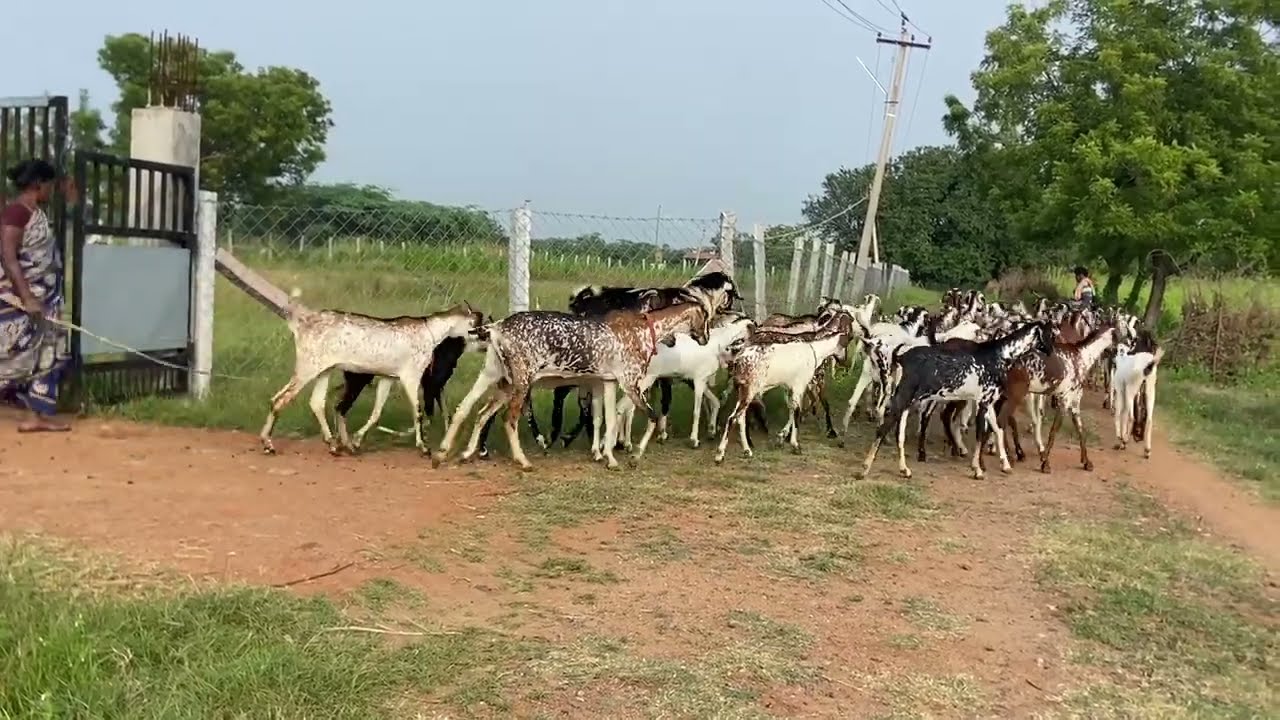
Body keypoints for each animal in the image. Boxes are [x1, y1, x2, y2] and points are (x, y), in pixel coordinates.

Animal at [259, 302, 485, 456]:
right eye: (477, 322)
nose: (485, 338)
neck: (429, 333)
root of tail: (302, 324)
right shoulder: (411, 376)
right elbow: (418, 412)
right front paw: (423, 448)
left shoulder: (388, 377)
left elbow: (377, 412)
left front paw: (357, 441)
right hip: (308, 367)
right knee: (280, 400)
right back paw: (268, 444)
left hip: (324, 369)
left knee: (315, 402)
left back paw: (333, 445)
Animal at [437, 289, 716, 470]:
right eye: (706, 317)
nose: (705, 339)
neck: (643, 329)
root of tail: (497, 327)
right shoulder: (630, 383)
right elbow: (652, 417)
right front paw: (634, 457)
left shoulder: (608, 382)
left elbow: (609, 420)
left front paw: (609, 459)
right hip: (522, 381)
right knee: (508, 418)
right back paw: (522, 461)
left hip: (498, 377)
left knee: (474, 409)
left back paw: (450, 453)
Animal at [714, 310, 856, 463]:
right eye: (849, 338)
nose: (844, 362)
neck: (814, 349)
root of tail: (739, 358)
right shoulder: (801, 384)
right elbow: (798, 410)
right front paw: (795, 444)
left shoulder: (790, 387)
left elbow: (792, 409)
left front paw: (783, 437)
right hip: (749, 389)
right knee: (733, 418)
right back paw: (720, 454)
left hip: (742, 390)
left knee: (739, 417)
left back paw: (747, 450)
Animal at [856, 320, 1055, 480]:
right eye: (1050, 334)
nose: (1053, 353)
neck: (998, 356)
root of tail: (900, 357)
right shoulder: (982, 402)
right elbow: (980, 435)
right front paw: (977, 469)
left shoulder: (989, 402)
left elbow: (997, 430)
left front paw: (1005, 465)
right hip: (903, 398)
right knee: (883, 428)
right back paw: (864, 469)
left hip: (906, 402)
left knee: (900, 433)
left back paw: (904, 469)